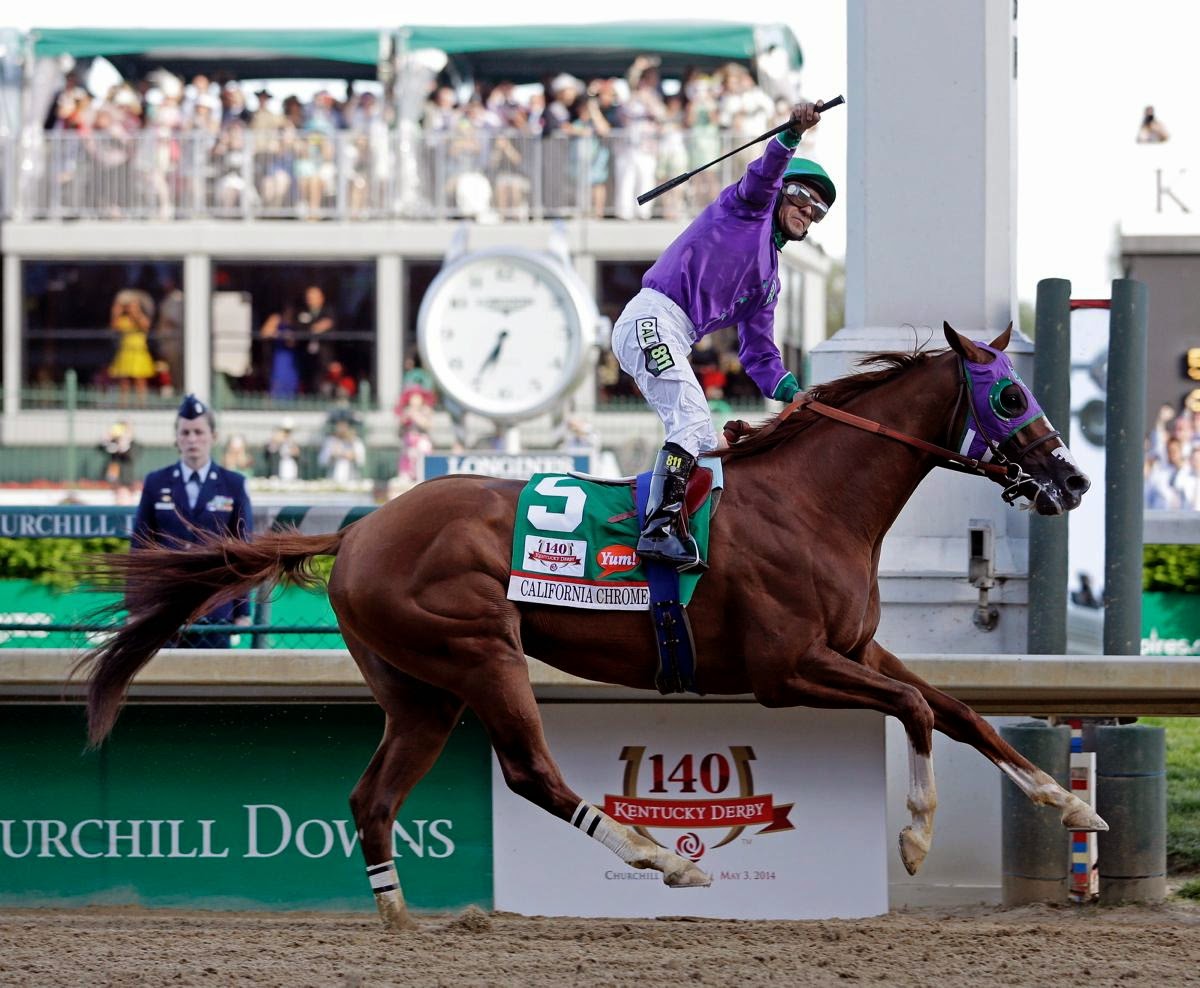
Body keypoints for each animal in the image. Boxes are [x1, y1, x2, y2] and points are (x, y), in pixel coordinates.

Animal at [78, 323, 1106, 931]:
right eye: (1011, 396)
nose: (1073, 480)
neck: (814, 500)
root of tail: (362, 526)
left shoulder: (853, 646)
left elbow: (959, 711)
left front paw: (1069, 803)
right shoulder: (788, 667)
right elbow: (918, 712)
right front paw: (918, 838)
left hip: (419, 691)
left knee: (373, 799)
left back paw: (402, 920)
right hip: (479, 652)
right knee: (530, 771)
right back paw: (659, 860)